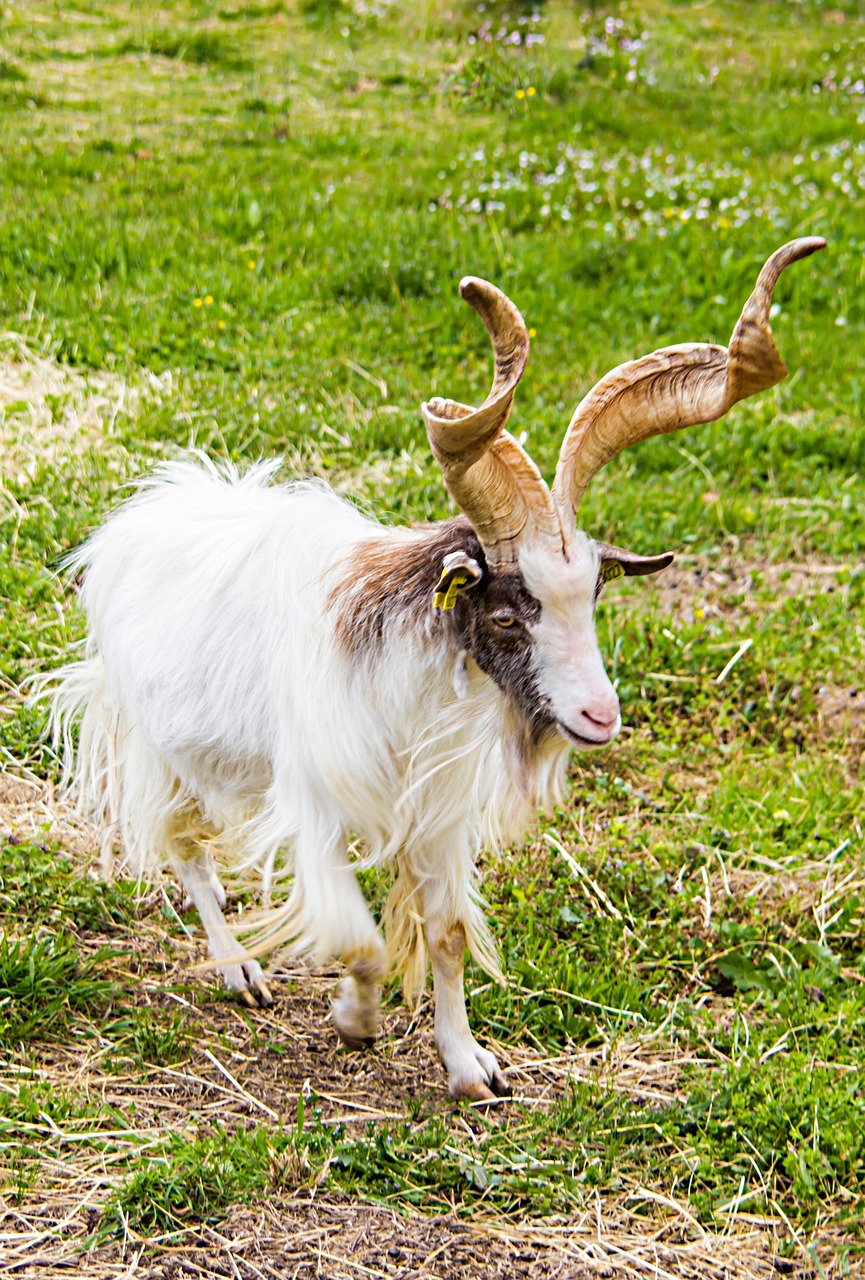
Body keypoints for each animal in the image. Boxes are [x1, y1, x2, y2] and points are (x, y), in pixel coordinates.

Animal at [50, 238, 824, 1100]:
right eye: (504, 614)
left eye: (592, 594)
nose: (598, 715)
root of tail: (140, 515)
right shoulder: (317, 802)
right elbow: (359, 939)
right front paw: (354, 1020)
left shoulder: (438, 811)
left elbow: (446, 932)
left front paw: (469, 1066)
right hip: (161, 744)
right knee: (182, 842)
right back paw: (237, 966)